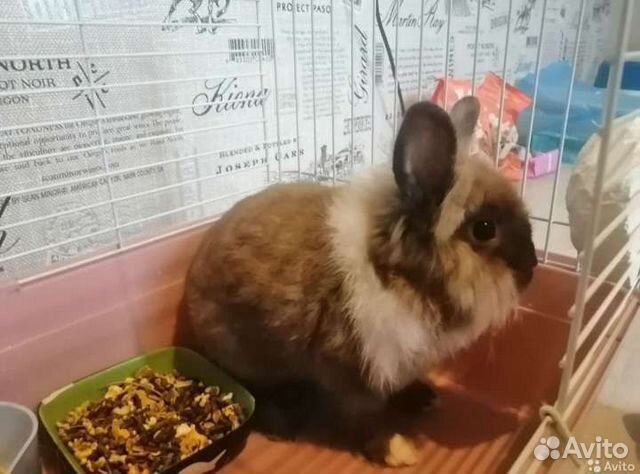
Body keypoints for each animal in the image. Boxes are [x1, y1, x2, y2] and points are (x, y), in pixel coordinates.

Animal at [182, 96, 538, 467]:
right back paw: (283, 424)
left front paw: (421, 398)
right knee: (254, 390)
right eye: (484, 229)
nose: (532, 268)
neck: (404, 280)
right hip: (245, 358)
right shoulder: (353, 377)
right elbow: (365, 419)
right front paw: (398, 452)